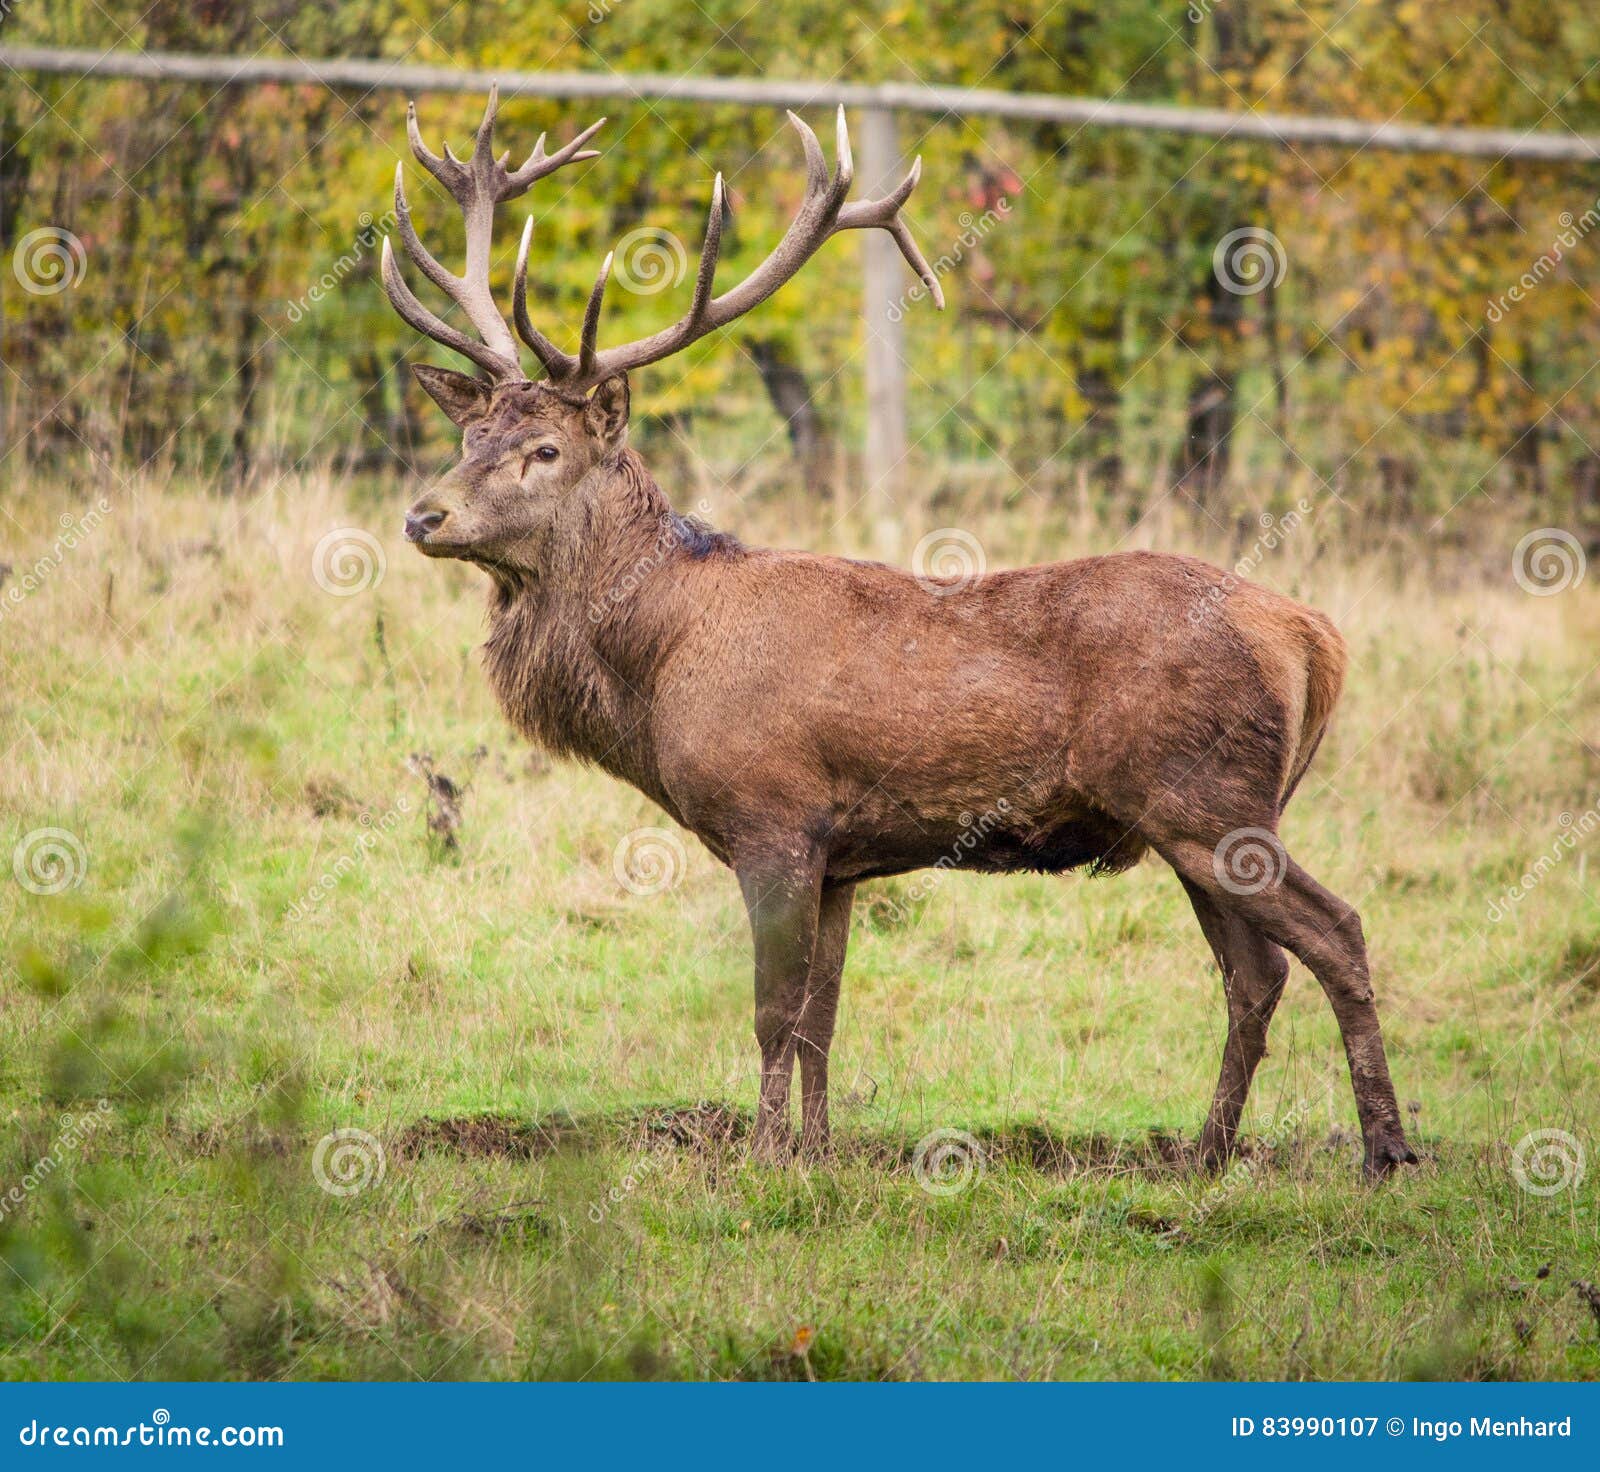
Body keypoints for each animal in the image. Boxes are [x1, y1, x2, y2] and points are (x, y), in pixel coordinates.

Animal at [379, 89, 1417, 1181]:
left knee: (1334, 932)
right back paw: (1205, 1154)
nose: (424, 516)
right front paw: (818, 1151)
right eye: (468, 436)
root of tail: (1308, 632)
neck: (658, 666)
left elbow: (772, 1011)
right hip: (1195, 814)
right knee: (1254, 973)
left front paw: (758, 1157)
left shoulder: (772, 815)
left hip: (1206, 795)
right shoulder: (843, 855)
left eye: (543, 450)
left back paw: (1385, 1148)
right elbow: (821, 1018)